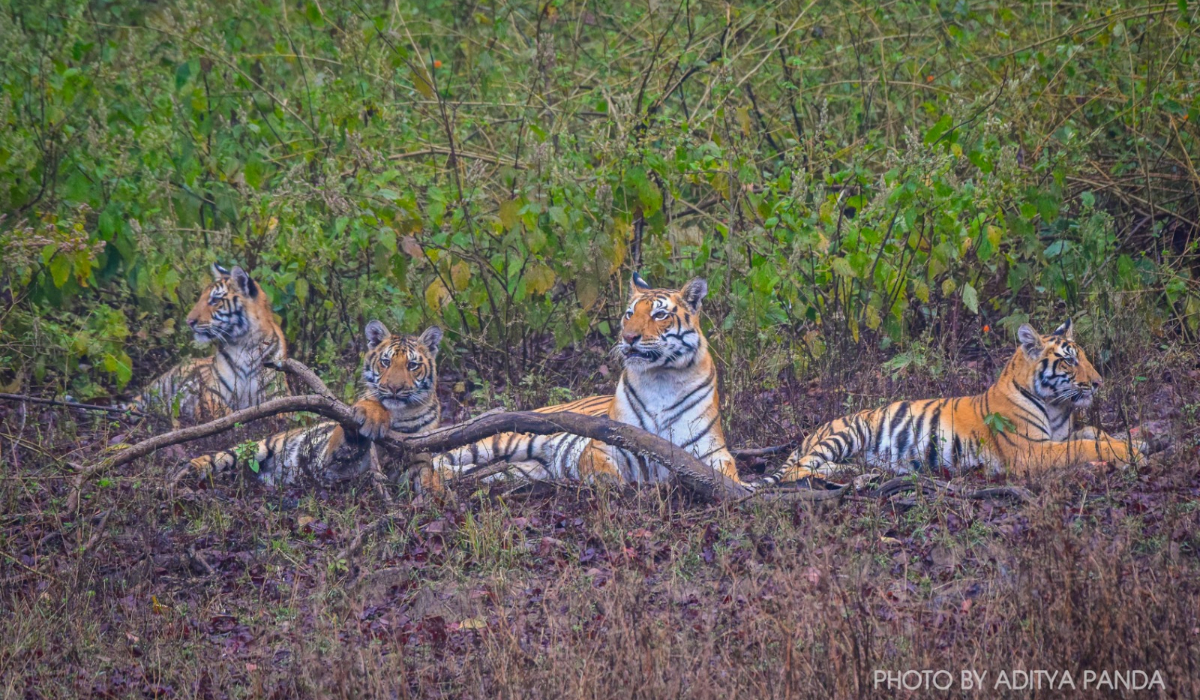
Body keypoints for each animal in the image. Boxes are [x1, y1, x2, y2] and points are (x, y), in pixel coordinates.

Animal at [131, 264, 288, 425]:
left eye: (214, 300)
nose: (189, 321)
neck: (245, 344)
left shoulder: (278, 394)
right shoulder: (212, 394)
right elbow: (227, 414)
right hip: (154, 391)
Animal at [186, 321, 443, 487]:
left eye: (412, 365)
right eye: (386, 362)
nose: (394, 388)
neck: (401, 415)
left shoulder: (419, 456)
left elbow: (426, 480)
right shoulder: (332, 462)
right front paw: (372, 417)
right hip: (256, 448)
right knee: (219, 457)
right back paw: (188, 472)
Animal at [429, 274, 743, 487]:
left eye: (659, 314)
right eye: (630, 314)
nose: (628, 337)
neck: (661, 378)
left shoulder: (713, 452)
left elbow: (730, 477)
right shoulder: (606, 447)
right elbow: (607, 474)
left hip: (519, 469)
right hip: (501, 438)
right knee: (437, 460)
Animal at [754, 319, 1151, 489]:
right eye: (1069, 360)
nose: (1098, 383)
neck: (1056, 407)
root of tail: (811, 432)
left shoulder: (1062, 432)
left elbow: (1095, 432)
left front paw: (1137, 441)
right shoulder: (1030, 451)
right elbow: (1085, 445)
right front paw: (1134, 453)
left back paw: (861, 474)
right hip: (848, 433)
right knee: (795, 471)